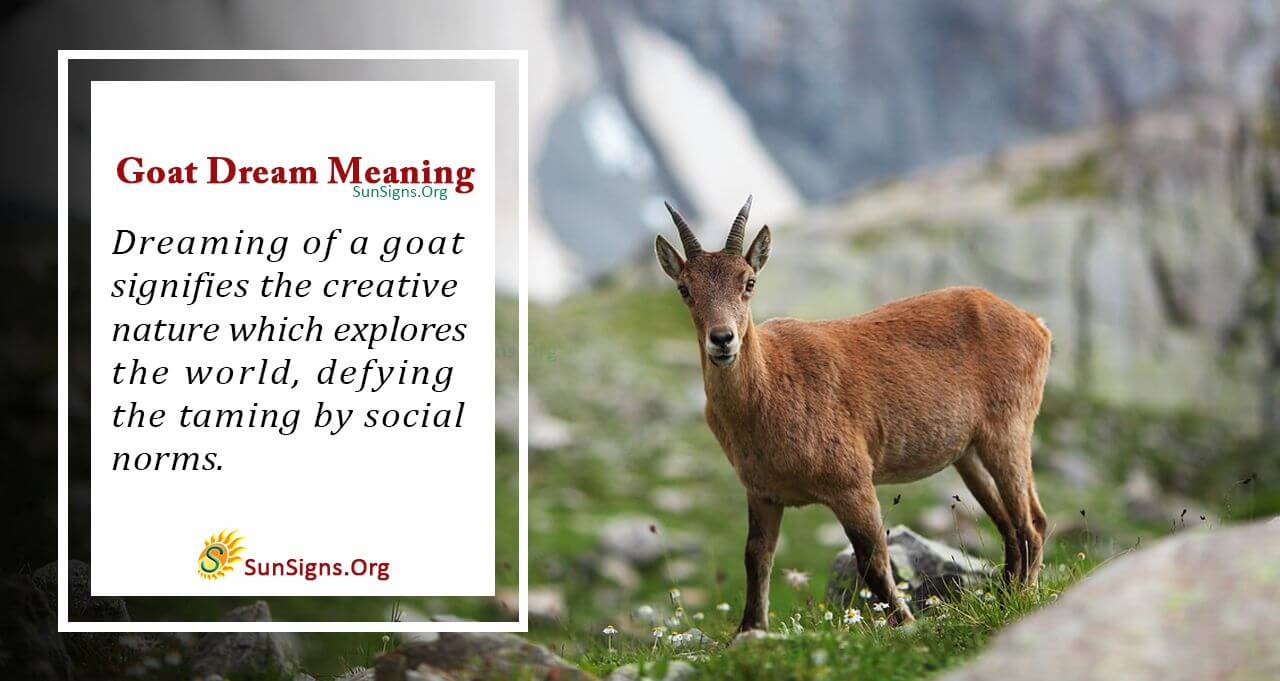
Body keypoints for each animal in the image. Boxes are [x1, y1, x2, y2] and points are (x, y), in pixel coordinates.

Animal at [654, 197, 1051, 630]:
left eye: (749, 282)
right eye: (684, 288)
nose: (723, 339)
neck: (767, 392)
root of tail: (1034, 323)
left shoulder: (852, 482)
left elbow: (873, 561)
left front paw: (904, 624)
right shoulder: (762, 492)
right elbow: (756, 559)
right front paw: (750, 630)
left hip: (1009, 430)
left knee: (1032, 523)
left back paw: (1022, 597)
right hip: (969, 453)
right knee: (1009, 525)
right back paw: (1006, 595)